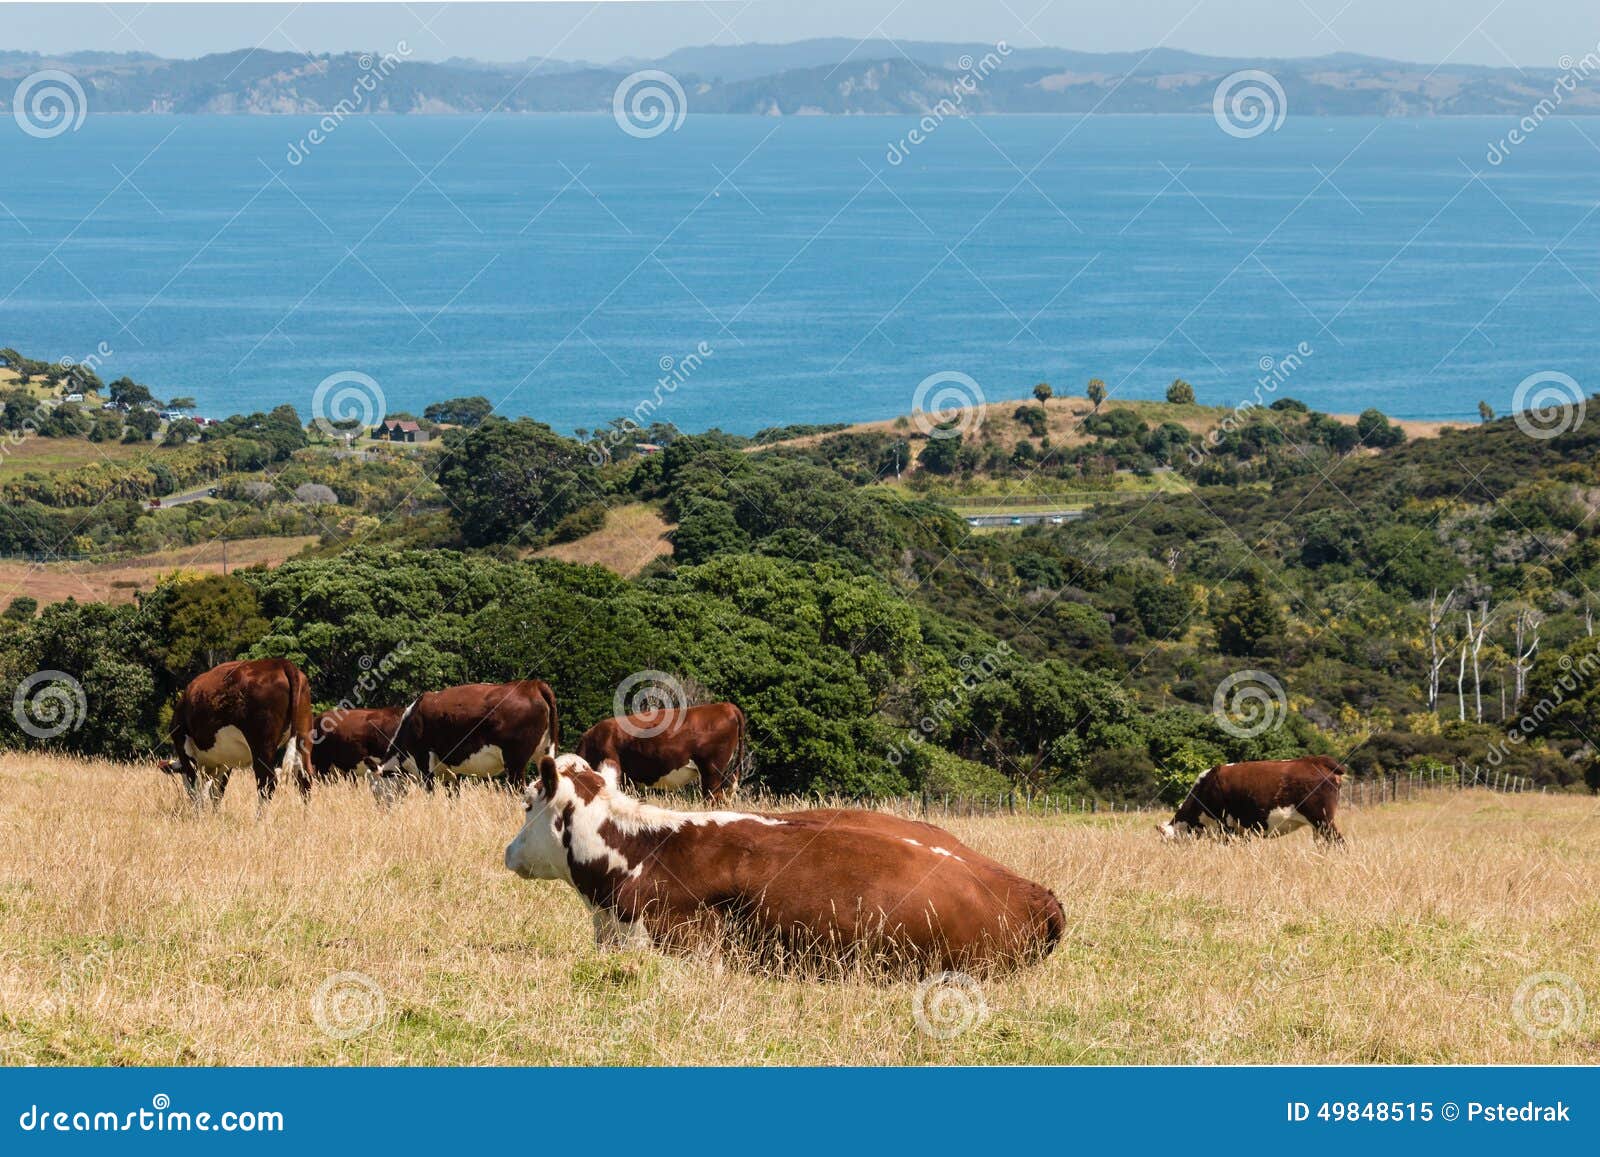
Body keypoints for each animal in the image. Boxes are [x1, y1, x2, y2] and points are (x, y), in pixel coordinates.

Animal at [158, 658, 314, 810]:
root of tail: (281, 662)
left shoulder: (184, 747)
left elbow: (197, 790)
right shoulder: (224, 762)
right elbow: (216, 793)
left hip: (262, 746)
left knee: (267, 782)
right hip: (303, 738)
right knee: (305, 779)